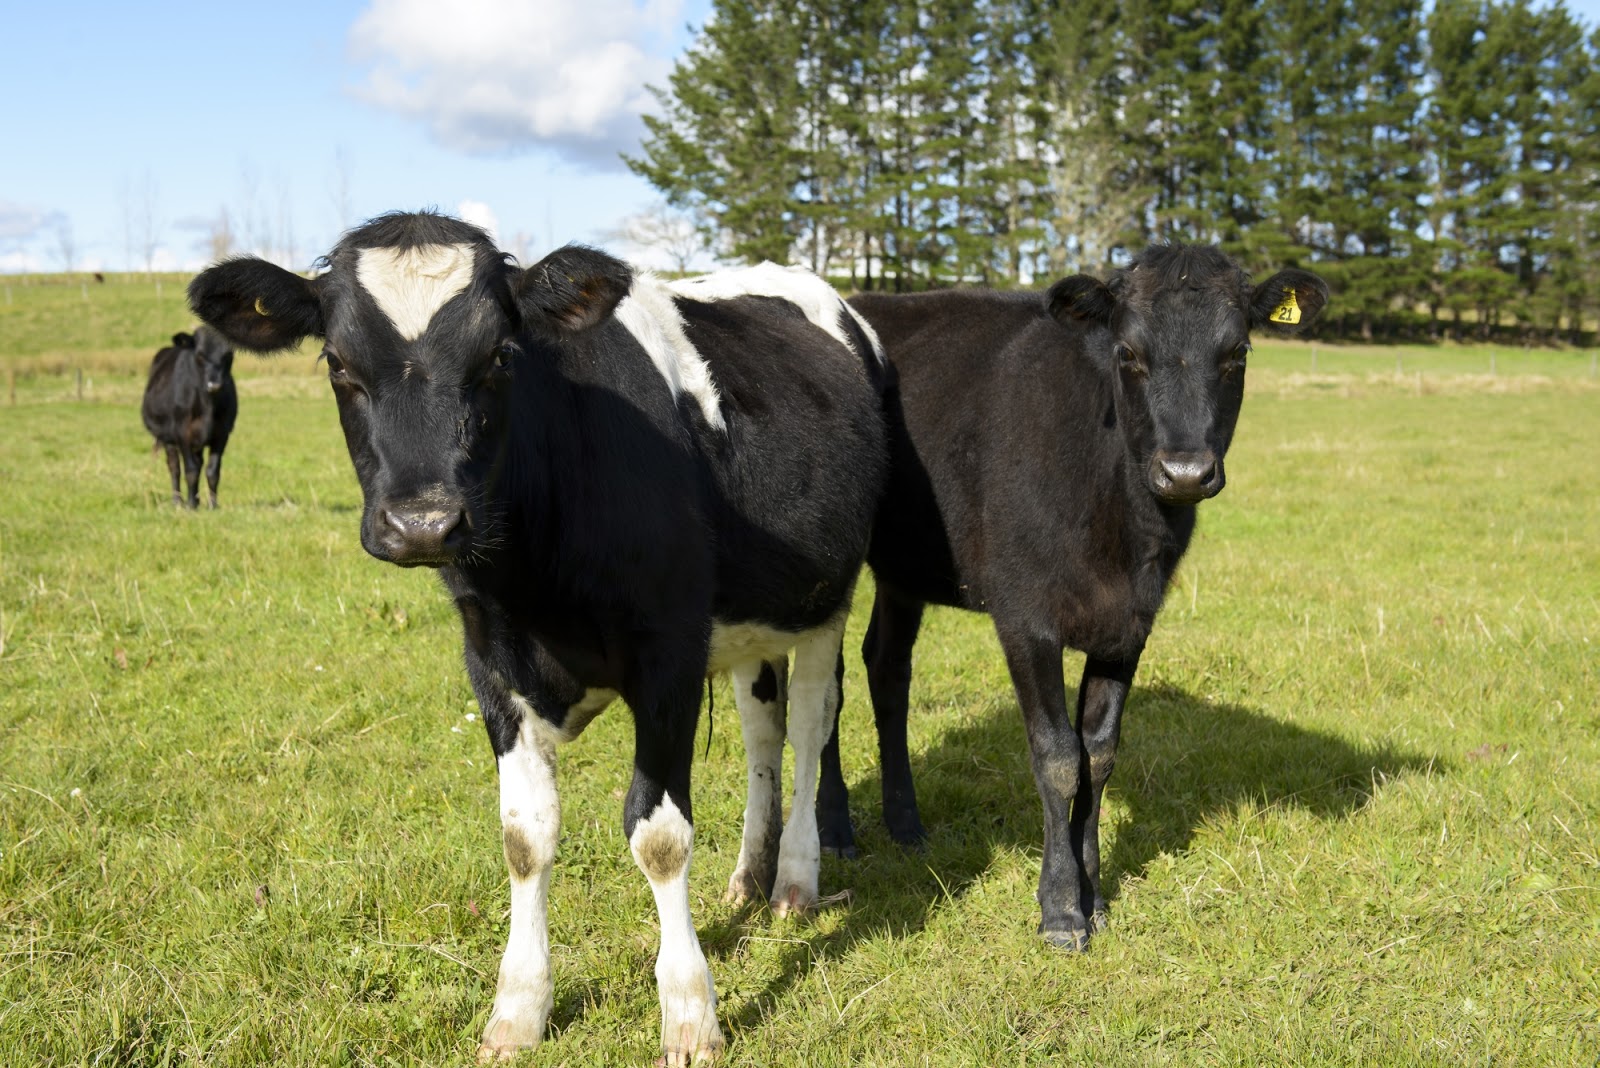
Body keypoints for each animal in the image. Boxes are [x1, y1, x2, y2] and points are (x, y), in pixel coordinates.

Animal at [140, 325, 238, 509]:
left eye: (228, 354)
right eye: (200, 354)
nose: (214, 384)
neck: (208, 406)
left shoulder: (222, 434)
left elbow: (212, 471)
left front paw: (213, 505)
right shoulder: (182, 432)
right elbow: (190, 470)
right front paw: (191, 505)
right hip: (167, 438)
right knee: (175, 467)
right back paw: (178, 501)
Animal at [187, 211, 888, 1063]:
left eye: (499, 356)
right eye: (337, 362)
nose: (423, 523)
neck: (535, 578)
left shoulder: (669, 653)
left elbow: (659, 836)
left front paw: (690, 1014)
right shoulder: (492, 663)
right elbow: (525, 838)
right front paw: (517, 1009)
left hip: (826, 598)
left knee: (811, 729)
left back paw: (793, 881)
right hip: (751, 623)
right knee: (763, 730)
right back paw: (750, 876)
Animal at [815, 244, 1327, 951]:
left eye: (1238, 352)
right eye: (1127, 353)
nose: (1185, 472)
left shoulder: (1131, 622)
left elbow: (1100, 754)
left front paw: (1097, 894)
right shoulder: (1025, 616)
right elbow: (1058, 757)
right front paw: (1059, 909)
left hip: (904, 565)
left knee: (887, 668)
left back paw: (906, 824)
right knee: (825, 685)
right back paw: (835, 830)